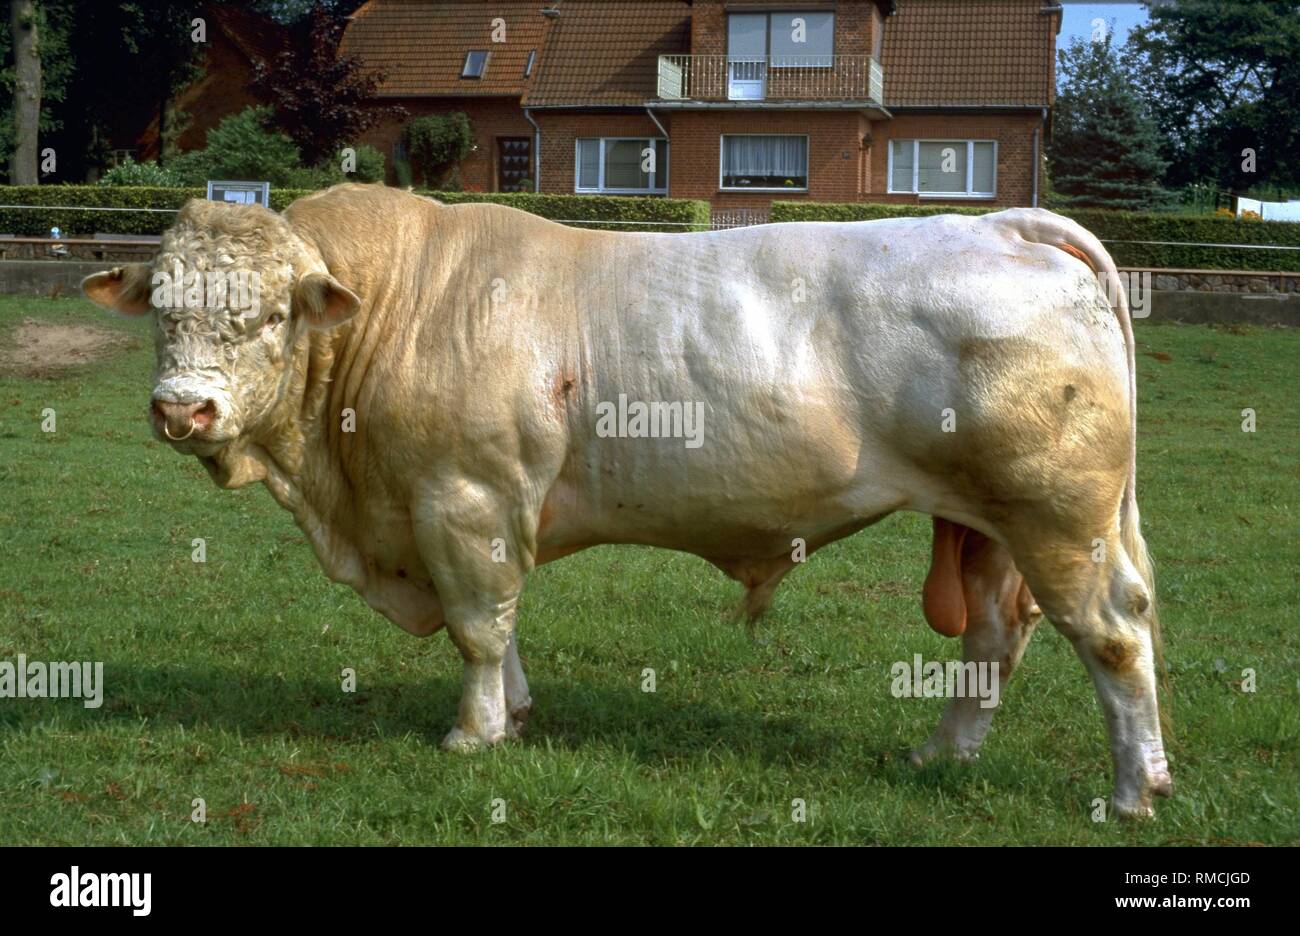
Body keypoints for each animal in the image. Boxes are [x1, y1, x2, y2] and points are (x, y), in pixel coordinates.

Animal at [81, 184, 1171, 817]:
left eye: (268, 316)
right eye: (163, 310)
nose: (182, 409)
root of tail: (1002, 222)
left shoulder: (461, 497)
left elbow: (477, 624)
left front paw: (472, 734)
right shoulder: (479, 513)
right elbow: (504, 624)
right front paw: (516, 713)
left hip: (1058, 517)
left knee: (1114, 635)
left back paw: (1133, 789)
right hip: (982, 524)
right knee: (993, 636)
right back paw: (940, 756)